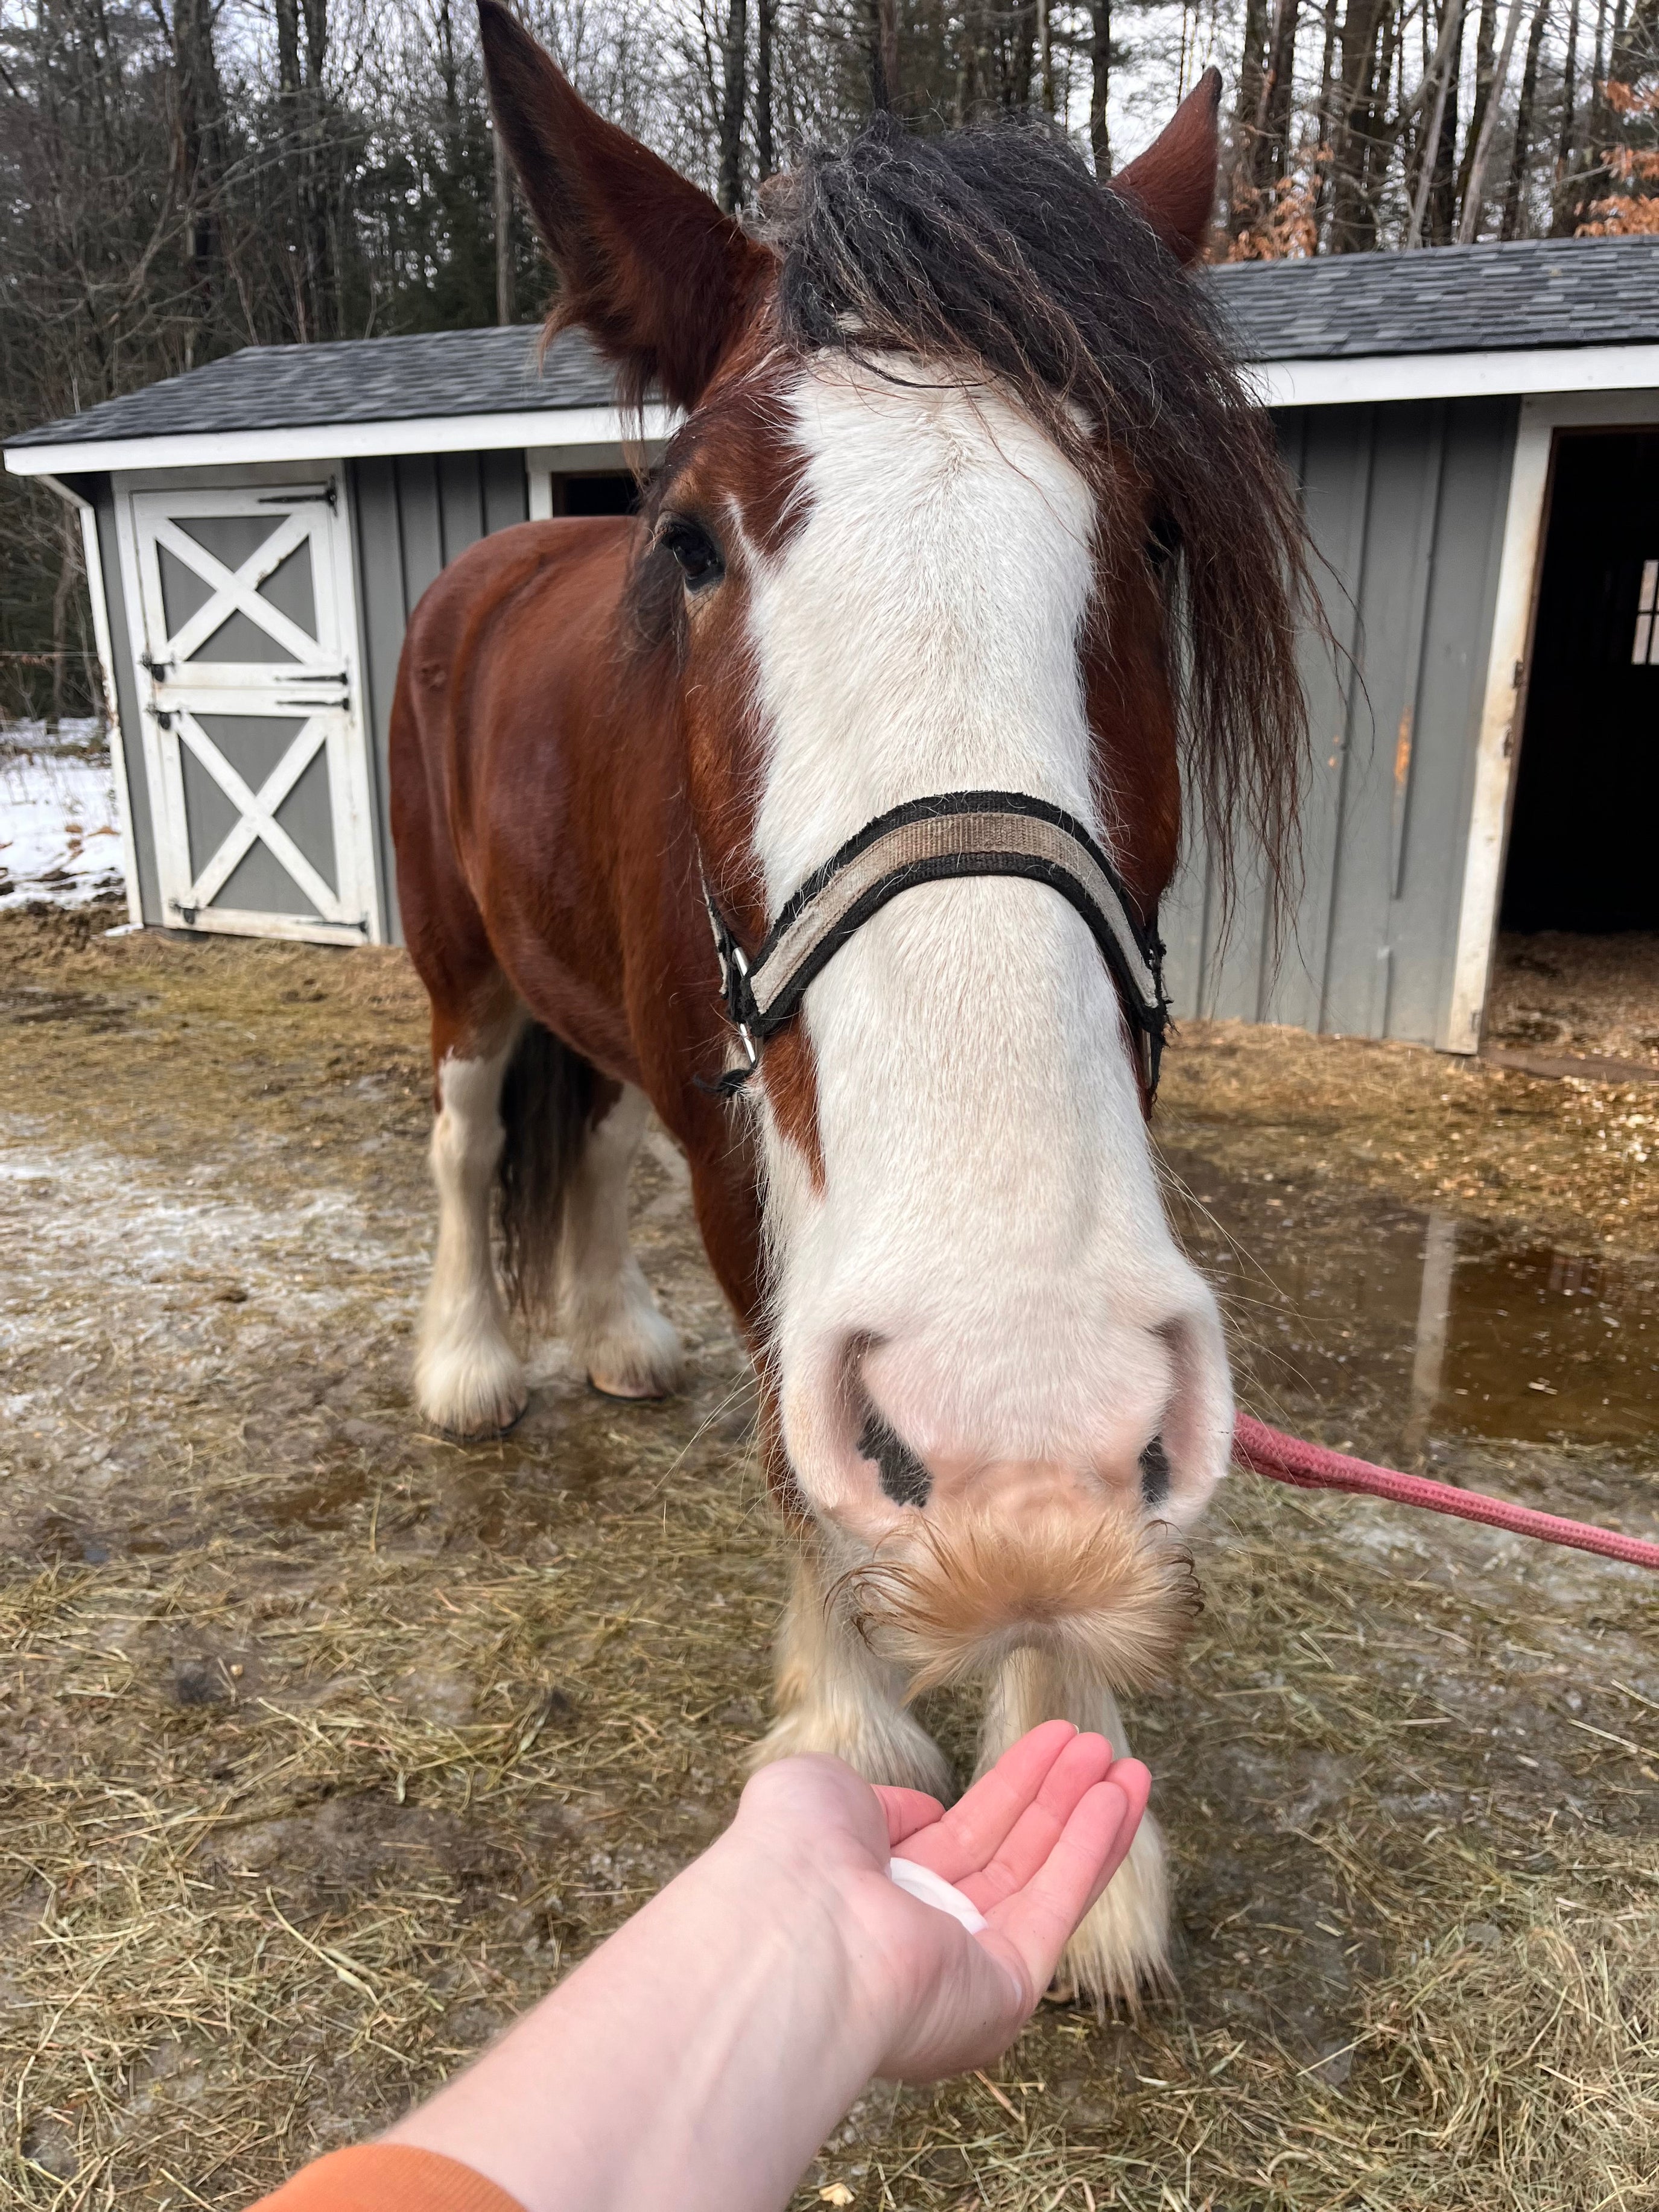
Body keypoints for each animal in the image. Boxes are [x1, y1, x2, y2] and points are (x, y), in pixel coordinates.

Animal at [391, 0, 1309, 2003]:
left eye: (1153, 530)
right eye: (692, 541)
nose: (1010, 1368)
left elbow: (1039, 1503)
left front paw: (1070, 1765)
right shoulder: (748, 1146)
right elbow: (791, 1433)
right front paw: (843, 1724)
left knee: (590, 1156)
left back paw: (607, 1330)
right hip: (470, 973)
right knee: (472, 1140)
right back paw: (475, 1364)